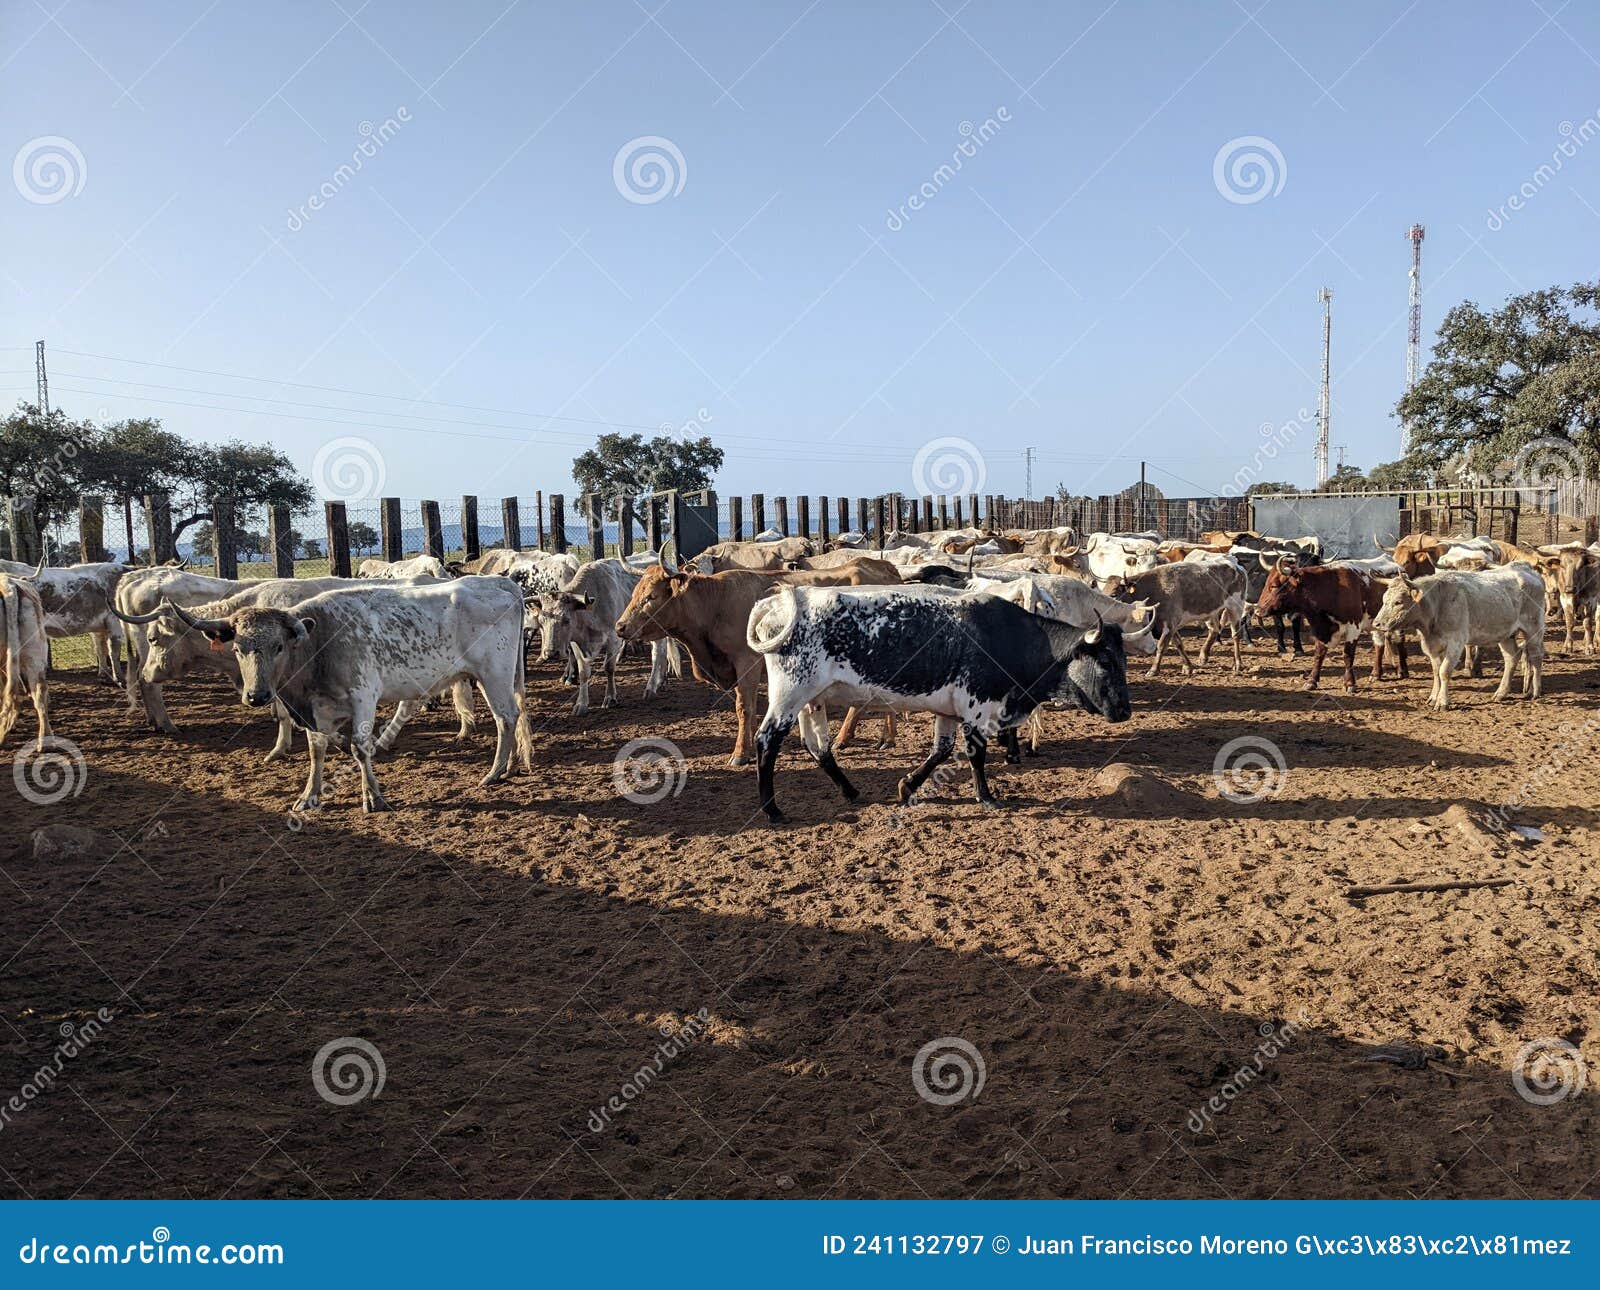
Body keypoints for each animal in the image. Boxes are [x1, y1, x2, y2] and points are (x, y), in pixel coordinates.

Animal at [163, 578, 532, 811]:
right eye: (238, 648)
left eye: (278, 645)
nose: (257, 696)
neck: (318, 644)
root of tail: (500, 583)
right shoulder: (316, 711)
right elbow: (317, 750)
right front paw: (309, 796)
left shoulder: (363, 697)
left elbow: (359, 747)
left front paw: (373, 798)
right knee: (512, 719)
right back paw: (511, 766)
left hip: (494, 675)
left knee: (505, 718)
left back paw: (494, 772)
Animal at [526, 559, 680, 714]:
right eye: (541, 622)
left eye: (566, 620)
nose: (550, 653)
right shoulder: (577, 645)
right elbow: (583, 673)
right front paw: (581, 704)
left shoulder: (614, 640)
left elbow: (609, 668)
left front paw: (610, 698)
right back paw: (661, 681)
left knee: (657, 654)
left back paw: (651, 687)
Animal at [745, 587, 1133, 823]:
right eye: (1105, 662)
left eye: (1123, 660)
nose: (1125, 711)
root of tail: (780, 601)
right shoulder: (977, 706)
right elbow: (975, 754)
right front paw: (985, 796)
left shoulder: (947, 711)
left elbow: (941, 751)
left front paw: (908, 786)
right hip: (789, 694)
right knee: (767, 741)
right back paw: (772, 809)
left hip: (812, 702)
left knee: (818, 747)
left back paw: (850, 791)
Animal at [1251, 560, 1406, 691]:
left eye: (1274, 585)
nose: (1257, 610)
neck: (1330, 588)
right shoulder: (1320, 629)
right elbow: (1319, 655)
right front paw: (1311, 681)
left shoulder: (1353, 629)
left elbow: (1348, 656)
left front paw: (1349, 683)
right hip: (1375, 622)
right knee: (1379, 644)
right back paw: (1376, 674)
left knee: (1399, 640)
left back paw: (1403, 671)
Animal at [1372, 565, 1546, 709]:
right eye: (1384, 600)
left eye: (1398, 602)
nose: (1377, 623)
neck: (1437, 603)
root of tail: (1530, 571)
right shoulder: (1431, 645)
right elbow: (1436, 671)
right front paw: (1433, 698)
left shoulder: (1456, 642)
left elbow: (1444, 671)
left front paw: (1443, 702)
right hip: (1505, 634)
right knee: (1511, 657)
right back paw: (1501, 693)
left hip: (1534, 629)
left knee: (1536, 656)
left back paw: (1535, 691)